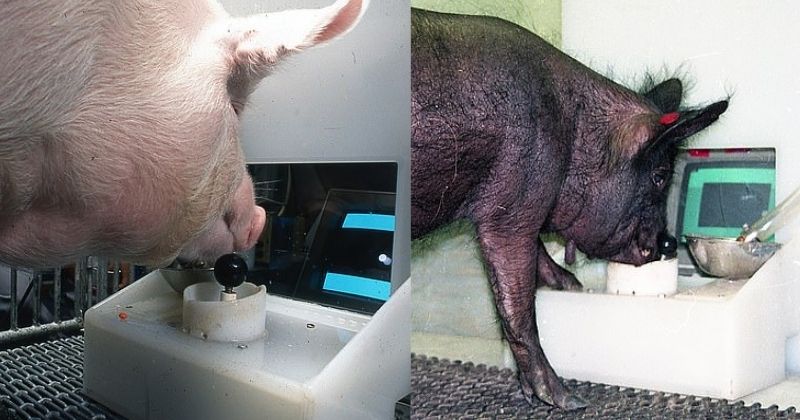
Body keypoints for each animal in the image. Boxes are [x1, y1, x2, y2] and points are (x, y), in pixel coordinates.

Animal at [411, 9, 728, 409]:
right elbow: (517, 304)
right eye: (659, 176)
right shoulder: (512, 205)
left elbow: (536, 255)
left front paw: (572, 286)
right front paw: (569, 400)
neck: (575, 135)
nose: (669, 243)